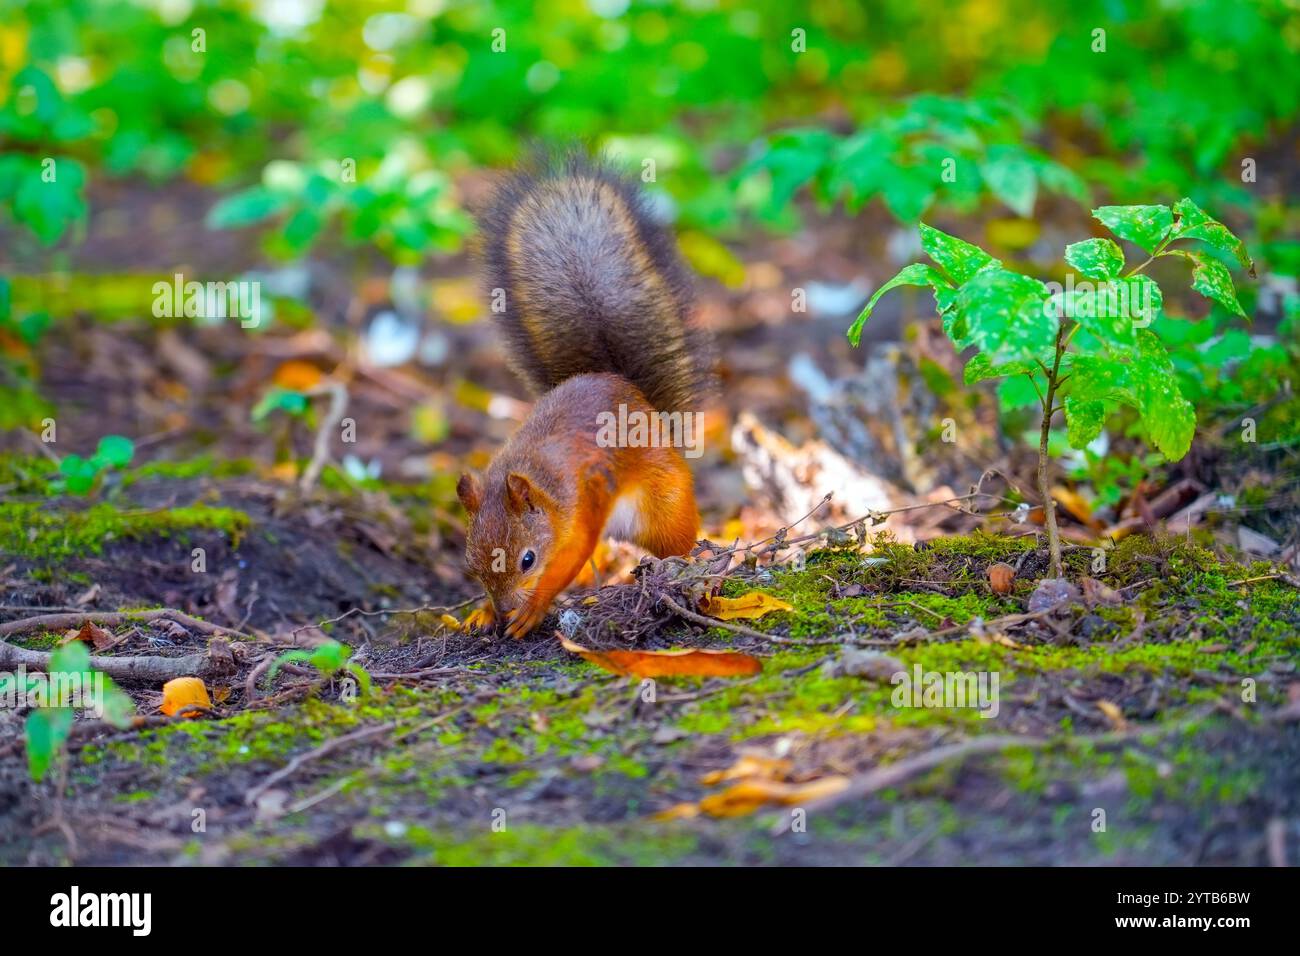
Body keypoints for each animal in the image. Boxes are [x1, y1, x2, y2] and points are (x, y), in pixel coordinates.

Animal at [457, 150, 714, 638]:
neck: (536, 473)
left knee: (676, 540)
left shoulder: (587, 496)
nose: (503, 608)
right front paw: (481, 611)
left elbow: (573, 554)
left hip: (664, 505)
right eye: (471, 564)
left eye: (527, 559)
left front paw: (534, 607)